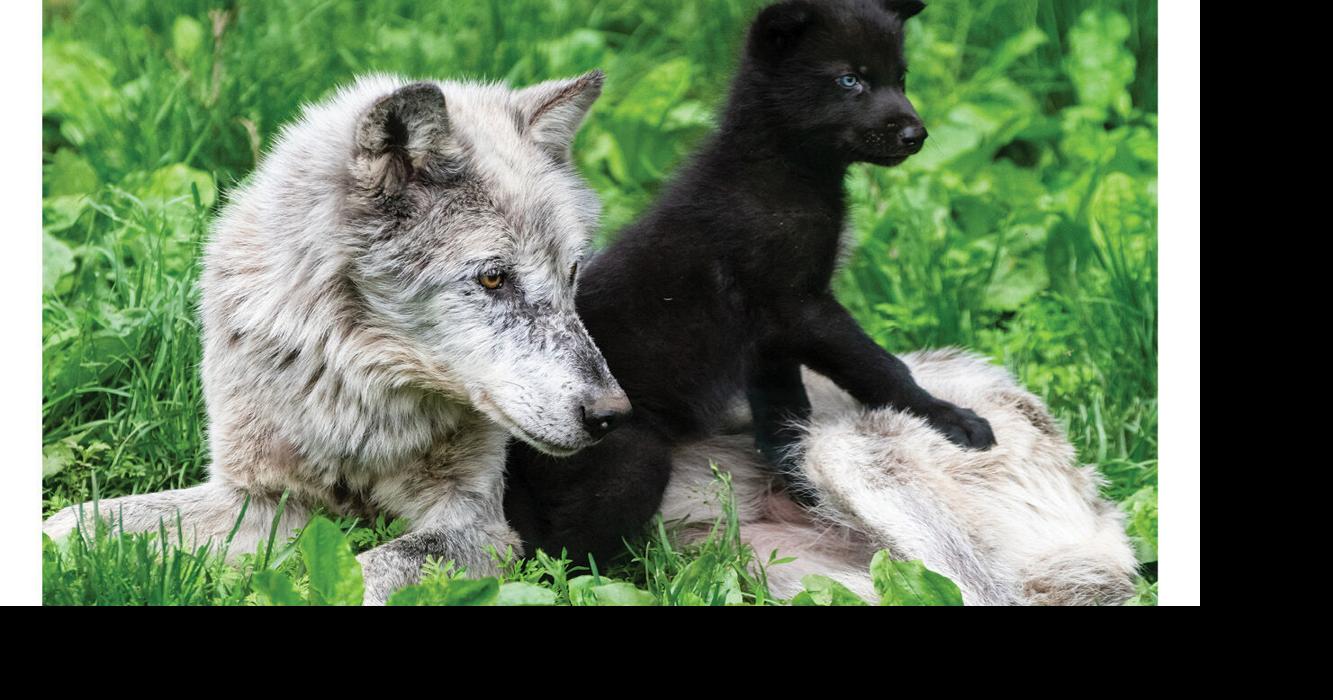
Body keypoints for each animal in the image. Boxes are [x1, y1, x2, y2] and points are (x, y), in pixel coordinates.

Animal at [42, 71, 630, 605]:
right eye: (492, 278)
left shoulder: (479, 524)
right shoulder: (258, 496)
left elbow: (379, 564)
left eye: (571, 273)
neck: (359, 390)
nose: (612, 413)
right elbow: (89, 519)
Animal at [504, 0, 994, 565]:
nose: (916, 134)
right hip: (633, 454)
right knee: (556, 553)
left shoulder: (772, 337)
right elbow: (880, 367)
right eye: (850, 80)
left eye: (901, 77)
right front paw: (948, 416)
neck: (783, 168)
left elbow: (786, 416)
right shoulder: (800, 307)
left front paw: (803, 484)